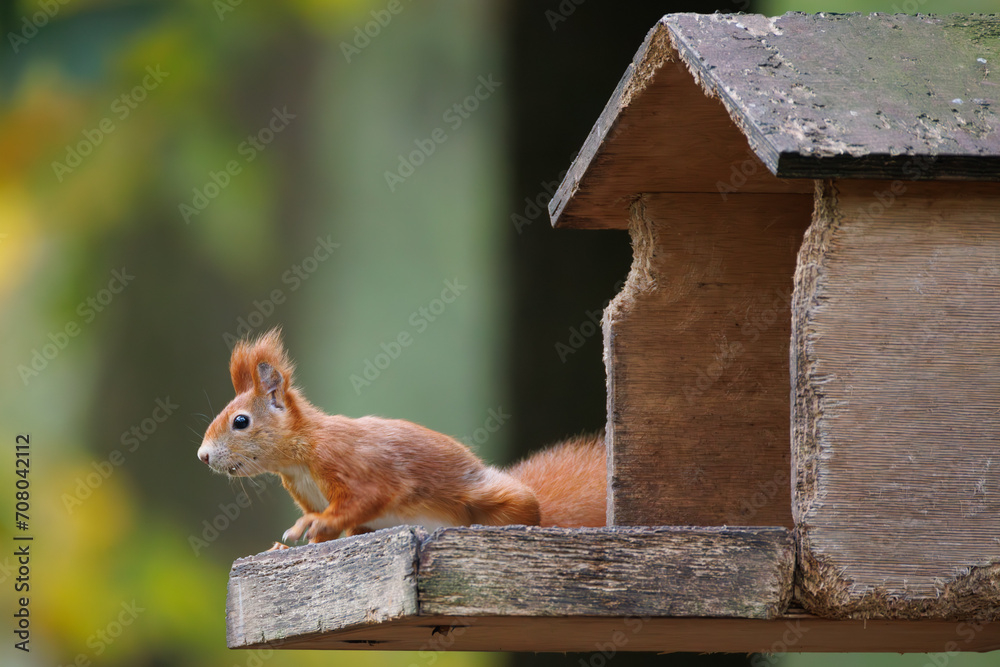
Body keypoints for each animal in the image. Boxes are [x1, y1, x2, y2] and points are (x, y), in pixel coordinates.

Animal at [197, 328, 606, 549]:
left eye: (241, 421)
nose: (202, 456)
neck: (299, 459)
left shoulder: (350, 464)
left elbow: (365, 498)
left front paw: (309, 525)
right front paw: (290, 541)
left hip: (497, 502)